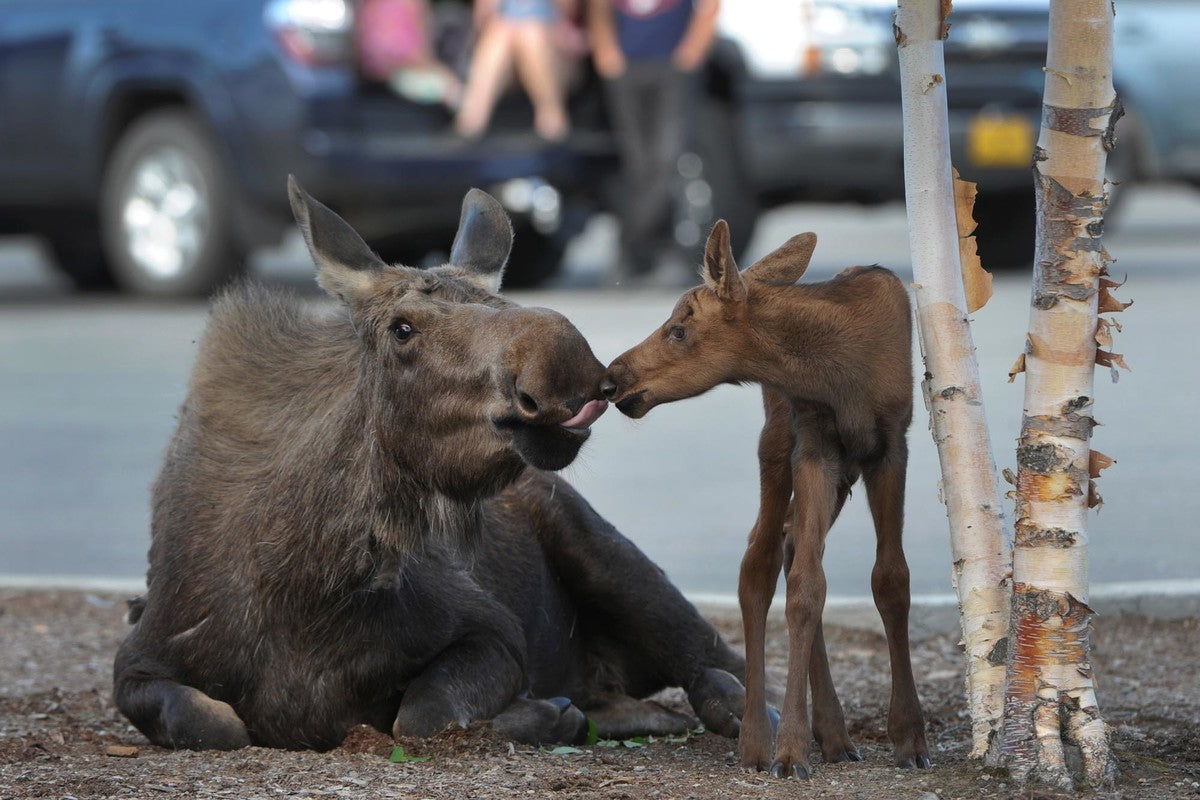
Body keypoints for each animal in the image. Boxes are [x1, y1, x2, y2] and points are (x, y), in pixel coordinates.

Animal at [112, 179, 749, 752]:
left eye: (505, 304)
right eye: (402, 329)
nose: (565, 369)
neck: (306, 586)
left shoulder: (491, 631)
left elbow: (422, 715)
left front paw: (540, 716)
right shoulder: (137, 662)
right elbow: (210, 722)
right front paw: (551, 716)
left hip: (611, 559)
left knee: (720, 663)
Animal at [601, 220, 931, 778]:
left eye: (679, 329)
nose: (611, 378)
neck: (834, 371)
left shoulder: (892, 447)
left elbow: (889, 579)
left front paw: (909, 737)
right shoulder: (814, 445)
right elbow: (805, 586)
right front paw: (790, 749)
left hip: (834, 471)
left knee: (792, 544)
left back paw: (833, 735)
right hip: (777, 445)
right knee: (759, 560)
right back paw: (759, 738)